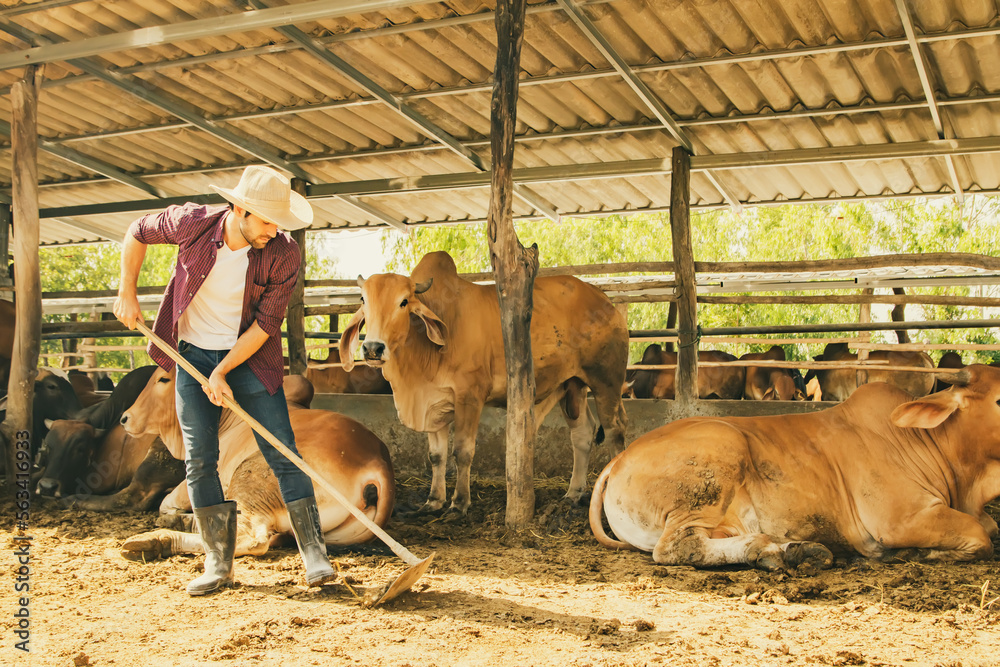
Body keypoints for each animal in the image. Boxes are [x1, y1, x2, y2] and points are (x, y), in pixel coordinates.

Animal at [117, 368, 396, 560]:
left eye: (163, 379)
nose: (125, 417)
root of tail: (377, 461)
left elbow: (166, 503)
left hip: (253, 475)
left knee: (252, 538)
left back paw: (157, 540)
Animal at [340, 250, 629, 514]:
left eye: (403, 301)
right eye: (363, 299)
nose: (373, 348)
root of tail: (605, 301)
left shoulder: (469, 397)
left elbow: (463, 451)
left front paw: (459, 503)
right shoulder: (433, 402)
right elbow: (437, 456)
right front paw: (434, 501)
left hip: (606, 383)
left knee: (614, 431)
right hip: (572, 386)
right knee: (582, 433)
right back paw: (573, 493)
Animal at [590, 366, 1000, 570]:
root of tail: (618, 460)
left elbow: (989, 527)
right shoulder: (900, 519)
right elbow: (980, 534)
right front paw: (919, 554)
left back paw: (799, 550)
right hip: (720, 451)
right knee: (679, 546)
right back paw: (771, 551)